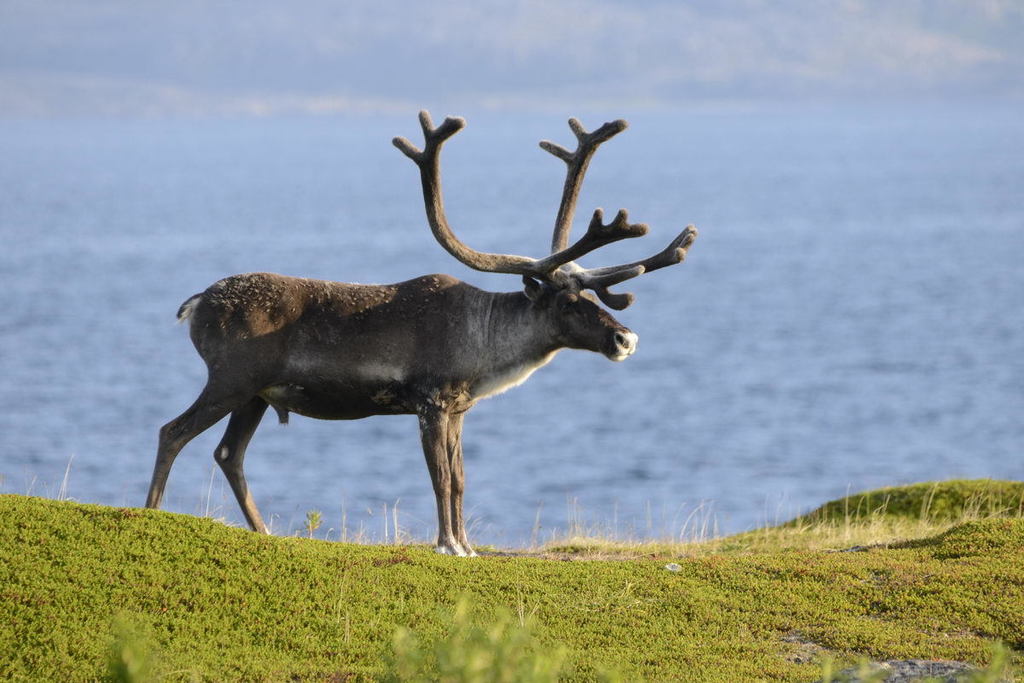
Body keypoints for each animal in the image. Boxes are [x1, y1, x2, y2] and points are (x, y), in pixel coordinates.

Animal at [144, 111, 697, 556]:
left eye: (595, 296)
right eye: (566, 301)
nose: (626, 339)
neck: (484, 344)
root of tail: (196, 303)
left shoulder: (459, 408)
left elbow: (460, 479)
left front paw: (468, 545)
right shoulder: (429, 401)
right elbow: (439, 480)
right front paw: (448, 544)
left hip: (257, 394)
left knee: (228, 453)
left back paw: (263, 532)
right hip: (231, 378)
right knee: (173, 431)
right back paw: (150, 512)